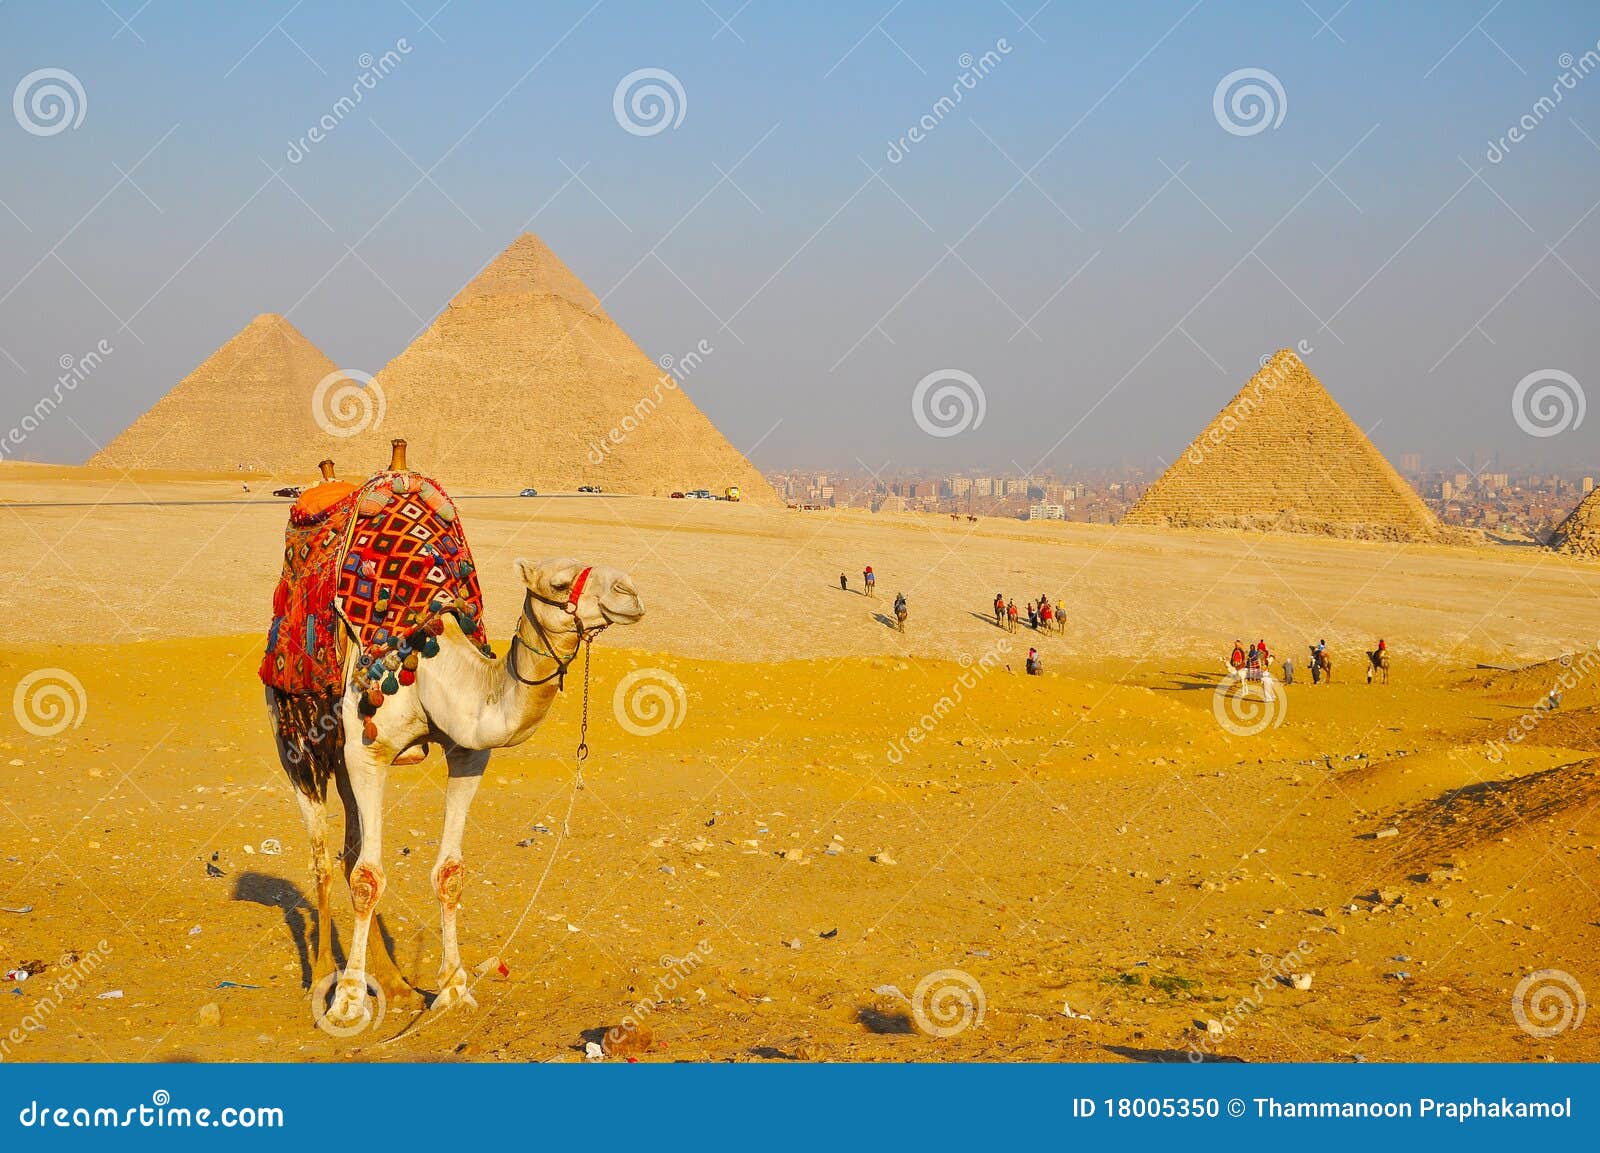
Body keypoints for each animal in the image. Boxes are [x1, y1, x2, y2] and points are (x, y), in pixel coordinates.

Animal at [267, 554, 643, 1032]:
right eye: (559, 584)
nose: (630, 592)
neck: (433, 664)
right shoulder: (367, 751)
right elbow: (368, 879)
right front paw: (347, 1003)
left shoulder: (468, 752)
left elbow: (448, 872)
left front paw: (453, 990)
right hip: (297, 742)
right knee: (323, 862)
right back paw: (321, 982)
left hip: (342, 764)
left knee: (350, 852)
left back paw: (394, 985)